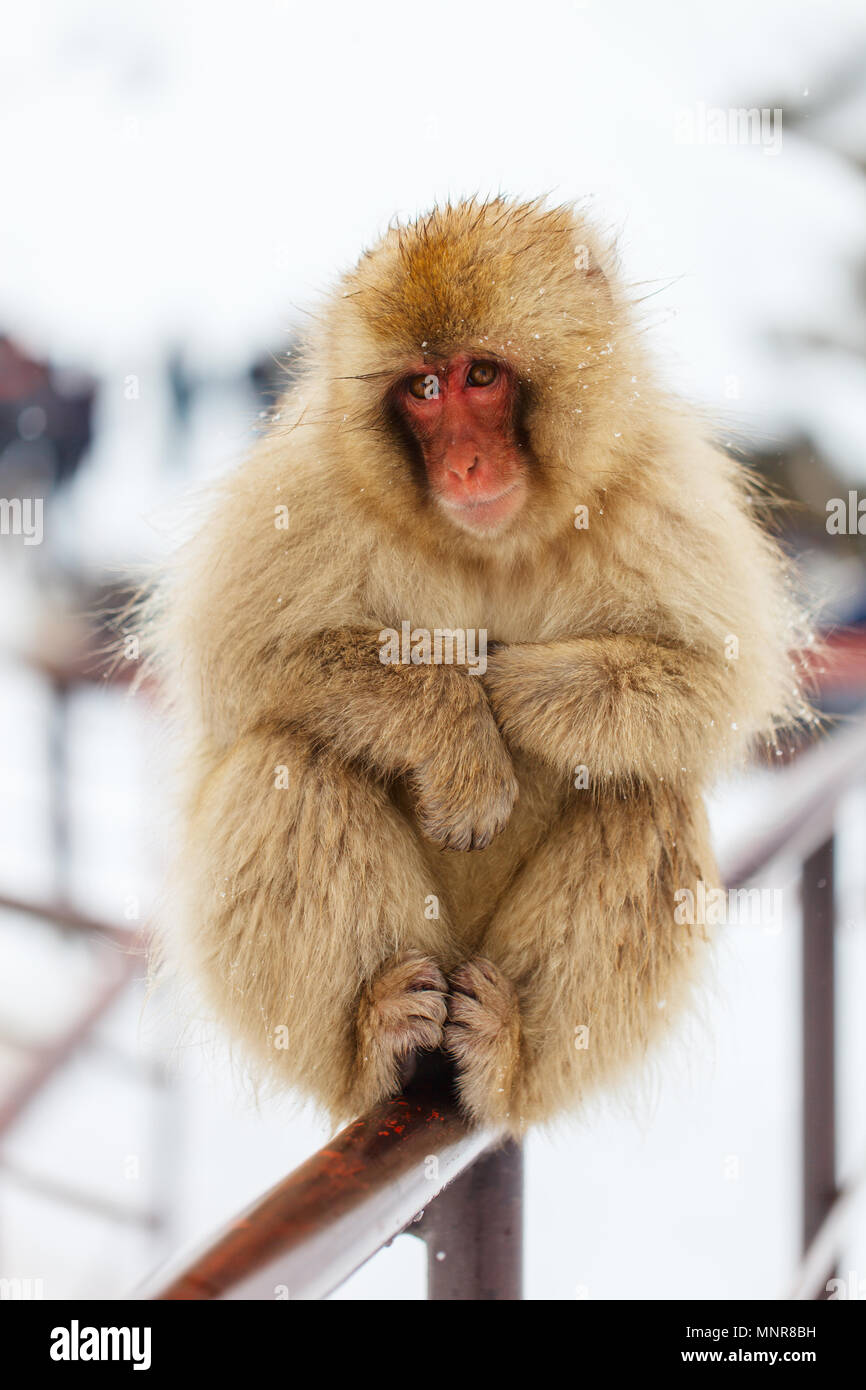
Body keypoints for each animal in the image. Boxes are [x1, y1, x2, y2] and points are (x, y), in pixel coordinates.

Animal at [155, 198, 809, 1135]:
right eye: (424, 390)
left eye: (483, 376)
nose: (463, 463)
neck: (491, 544)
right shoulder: (308, 488)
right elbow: (241, 664)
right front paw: (459, 724)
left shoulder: (658, 486)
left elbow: (711, 683)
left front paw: (506, 687)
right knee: (292, 757)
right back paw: (375, 1044)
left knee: (644, 793)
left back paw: (509, 1059)